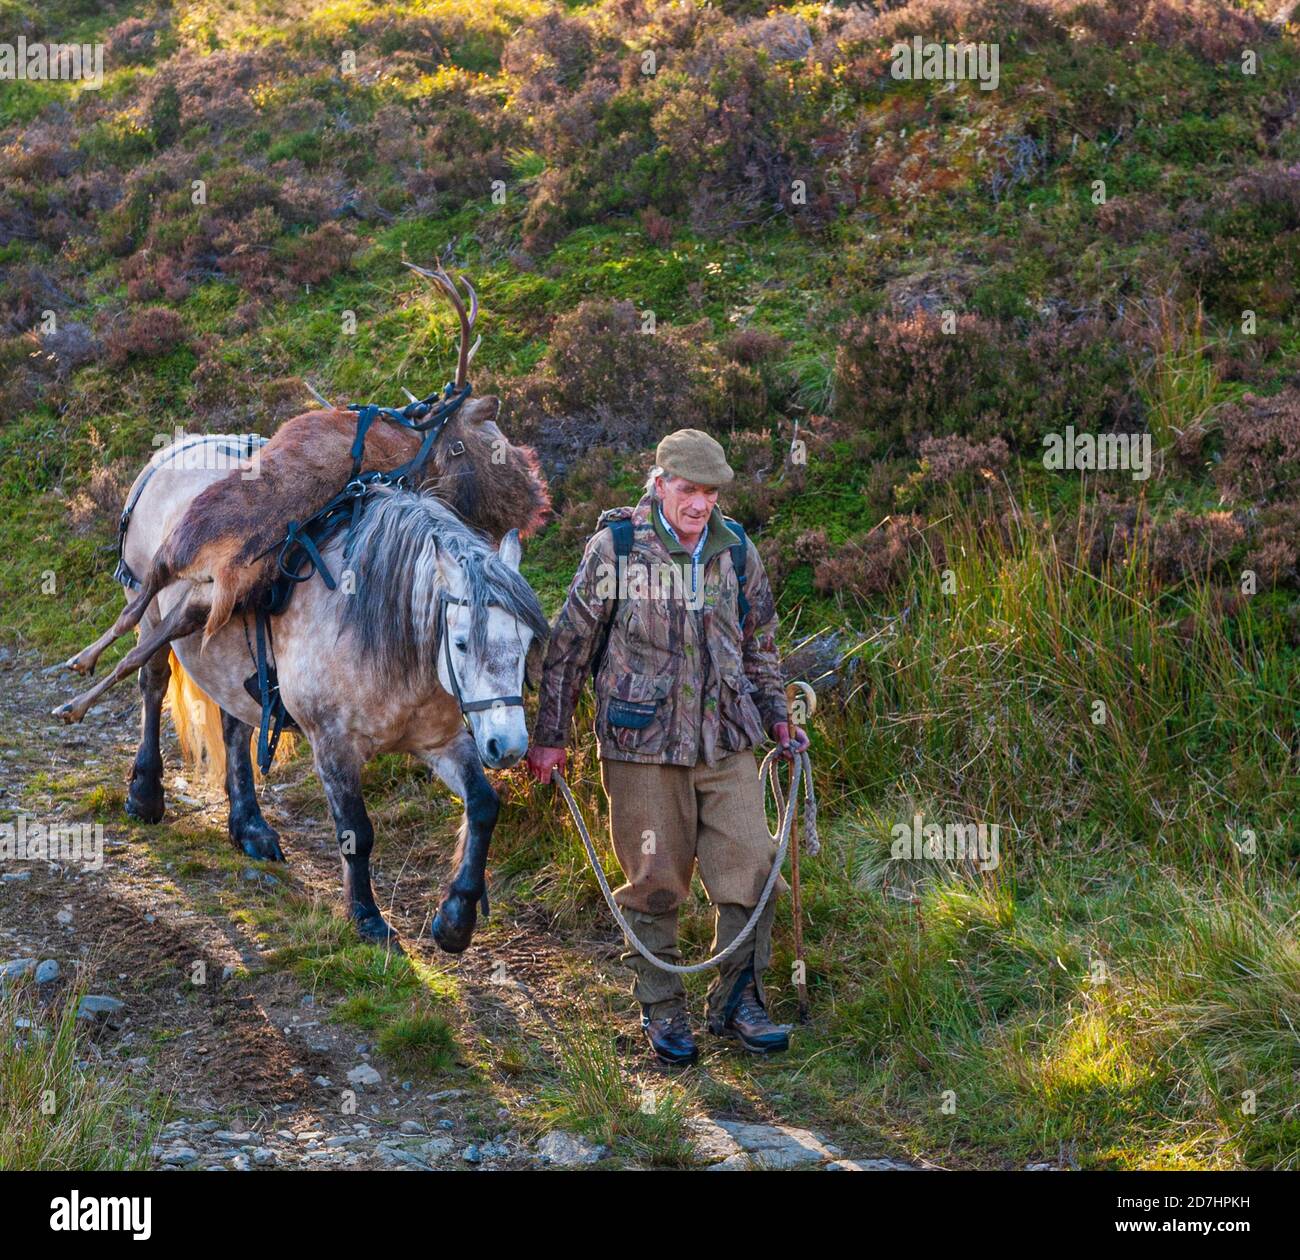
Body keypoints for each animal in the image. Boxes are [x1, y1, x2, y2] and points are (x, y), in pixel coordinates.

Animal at [57, 435, 550, 951]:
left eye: (527, 643)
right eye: (461, 642)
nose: (508, 746)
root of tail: (175, 449)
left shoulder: (442, 742)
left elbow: (484, 806)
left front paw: (456, 919)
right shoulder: (332, 745)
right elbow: (357, 831)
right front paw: (367, 917)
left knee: (234, 728)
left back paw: (249, 826)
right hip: (154, 609)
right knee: (149, 680)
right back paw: (137, 780)